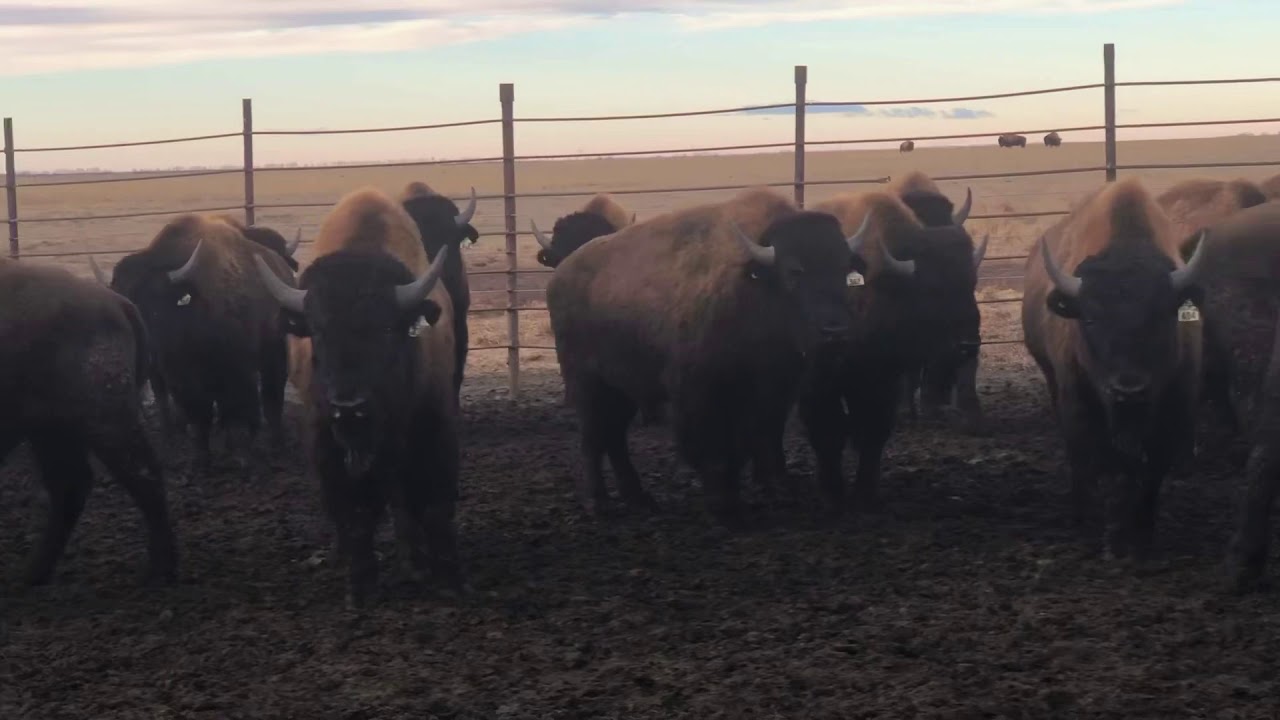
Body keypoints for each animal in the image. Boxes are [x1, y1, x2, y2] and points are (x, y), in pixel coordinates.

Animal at [0, 259, 178, 586]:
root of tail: (116, 303)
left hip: (103, 422)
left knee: (143, 476)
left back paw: (159, 570)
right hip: (50, 429)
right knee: (70, 485)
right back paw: (31, 573)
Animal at [97, 214, 296, 476]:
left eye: (151, 303)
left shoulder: (236, 373)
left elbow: (240, 410)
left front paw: (241, 455)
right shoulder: (182, 381)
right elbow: (200, 418)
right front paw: (201, 460)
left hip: (273, 356)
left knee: (272, 397)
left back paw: (275, 443)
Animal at [251, 186, 462, 607]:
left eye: (386, 329)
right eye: (316, 331)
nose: (349, 409)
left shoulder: (433, 425)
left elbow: (433, 502)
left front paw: (445, 575)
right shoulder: (327, 445)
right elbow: (354, 515)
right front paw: (361, 586)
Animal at [546, 186, 862, 526]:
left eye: (845, 270)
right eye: (794, 271)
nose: (836, 331)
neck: (754, 286)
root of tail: (561, 275)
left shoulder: (766, 398)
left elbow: (742, 448)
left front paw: (735, 500)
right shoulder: (699, 394)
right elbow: (712, 448)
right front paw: (724, 505)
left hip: (623, 389)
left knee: (614, 438)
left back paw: (640, 499)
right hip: (587, 384)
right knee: (593, 439)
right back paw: (599, 503)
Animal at [1021, 177, 1207, 561]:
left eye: (1163, 316)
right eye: (1090, 319)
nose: (1128, 389)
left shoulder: (1173, 409)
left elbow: (1152, 470)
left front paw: (1141, 535)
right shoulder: (1081, 404)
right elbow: (1101, 464)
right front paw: (1108, 535)